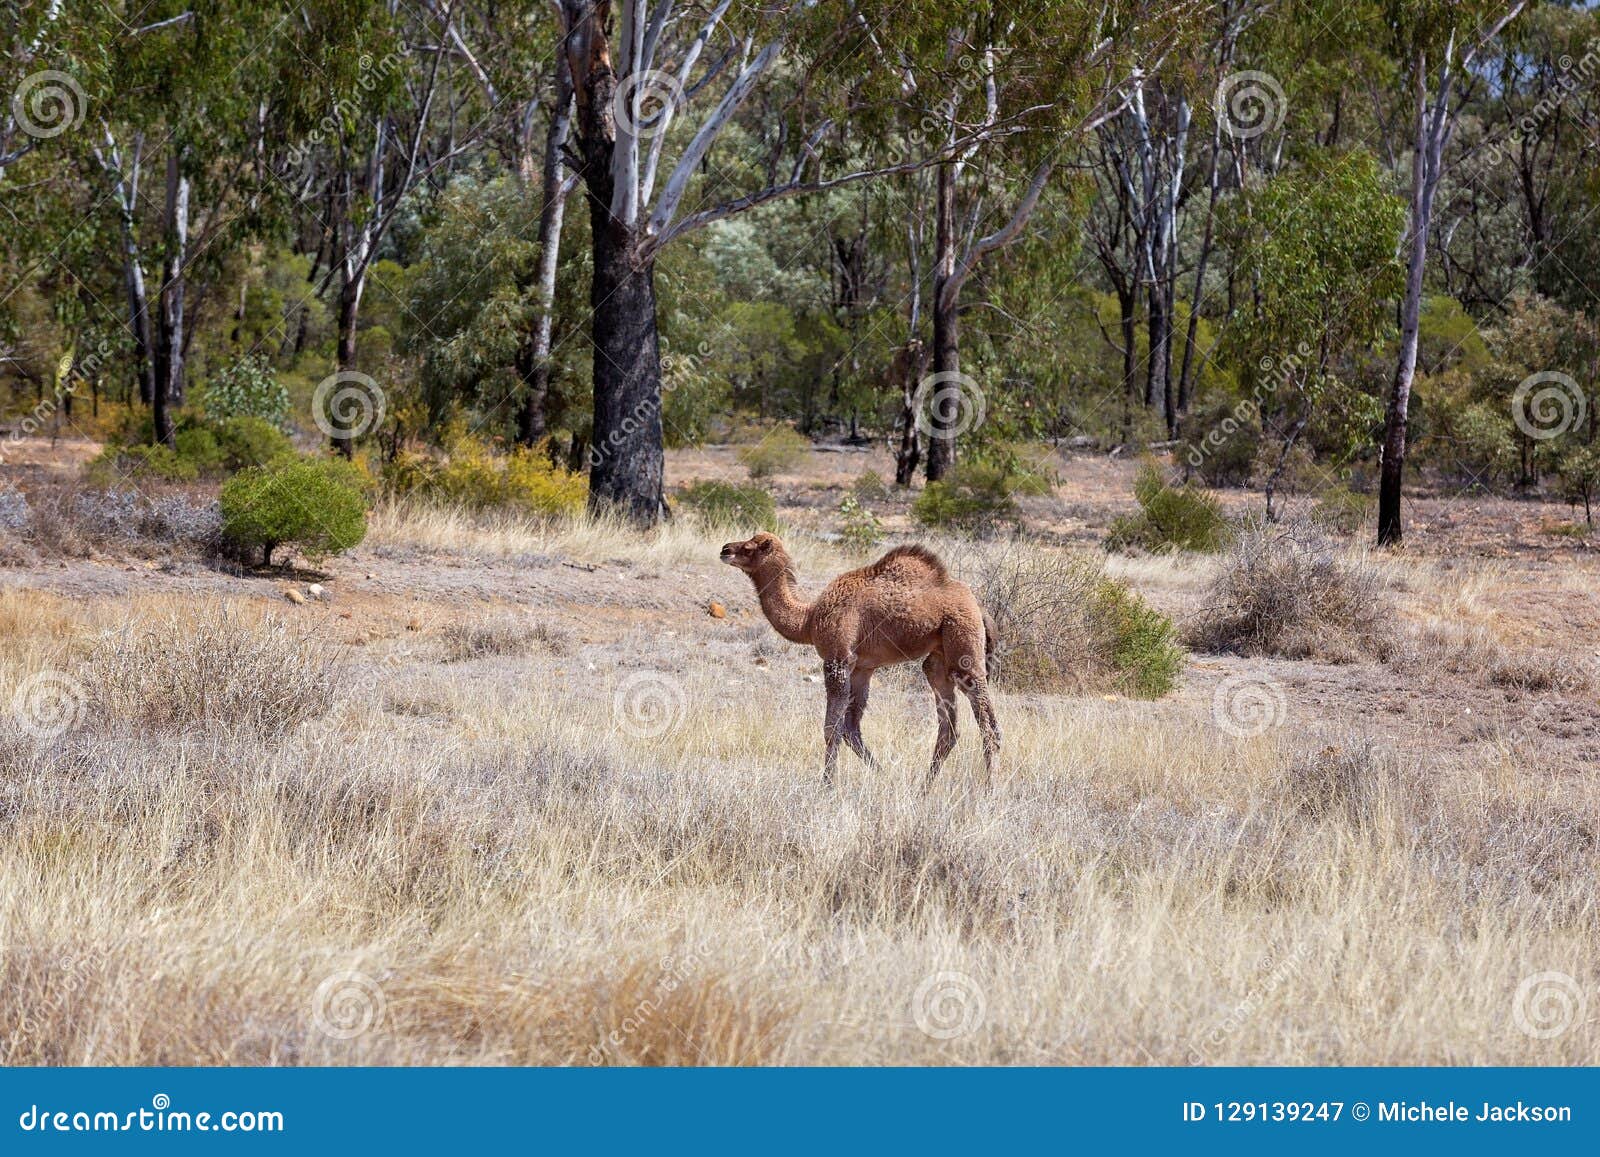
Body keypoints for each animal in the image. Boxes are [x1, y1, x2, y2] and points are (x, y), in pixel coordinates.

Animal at [720, 532, 1000, 787]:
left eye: (748, 548)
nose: (725, 549)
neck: (809, 619)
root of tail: (979, 608)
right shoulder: (862, 668)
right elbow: (850, 729)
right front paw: (884, 777)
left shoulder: (837, 660)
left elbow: (832, 728)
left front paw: (827, 785)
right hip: (938, 660)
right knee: (948, 726)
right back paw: (925, 788)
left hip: (964, 648)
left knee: (988, 724)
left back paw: (989, 788)